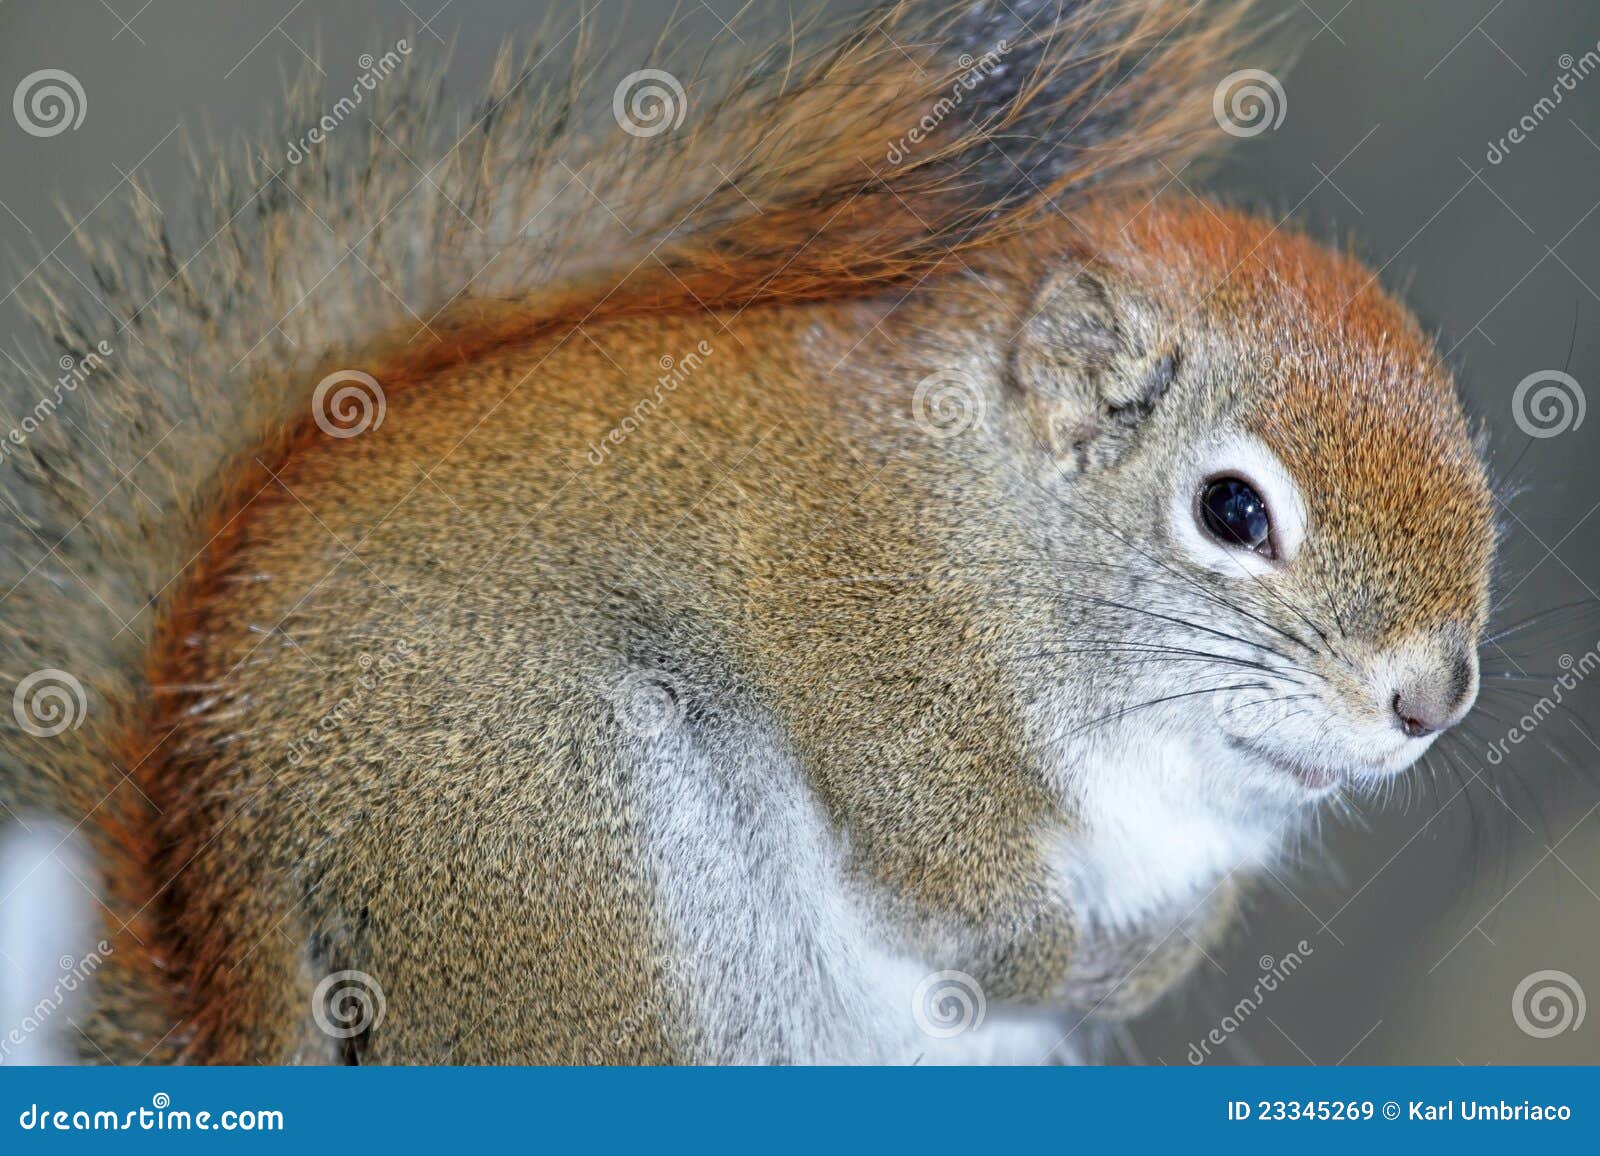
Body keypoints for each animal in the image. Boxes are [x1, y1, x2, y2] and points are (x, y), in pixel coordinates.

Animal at [0, 0, 1496, 1065]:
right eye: (1231, 510)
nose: (1432, 702)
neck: (989, 522)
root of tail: (232, 939)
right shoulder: (882, 671)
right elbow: (948, 877)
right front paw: (1042, 959)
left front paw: (1138, 961)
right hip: (563, 862)